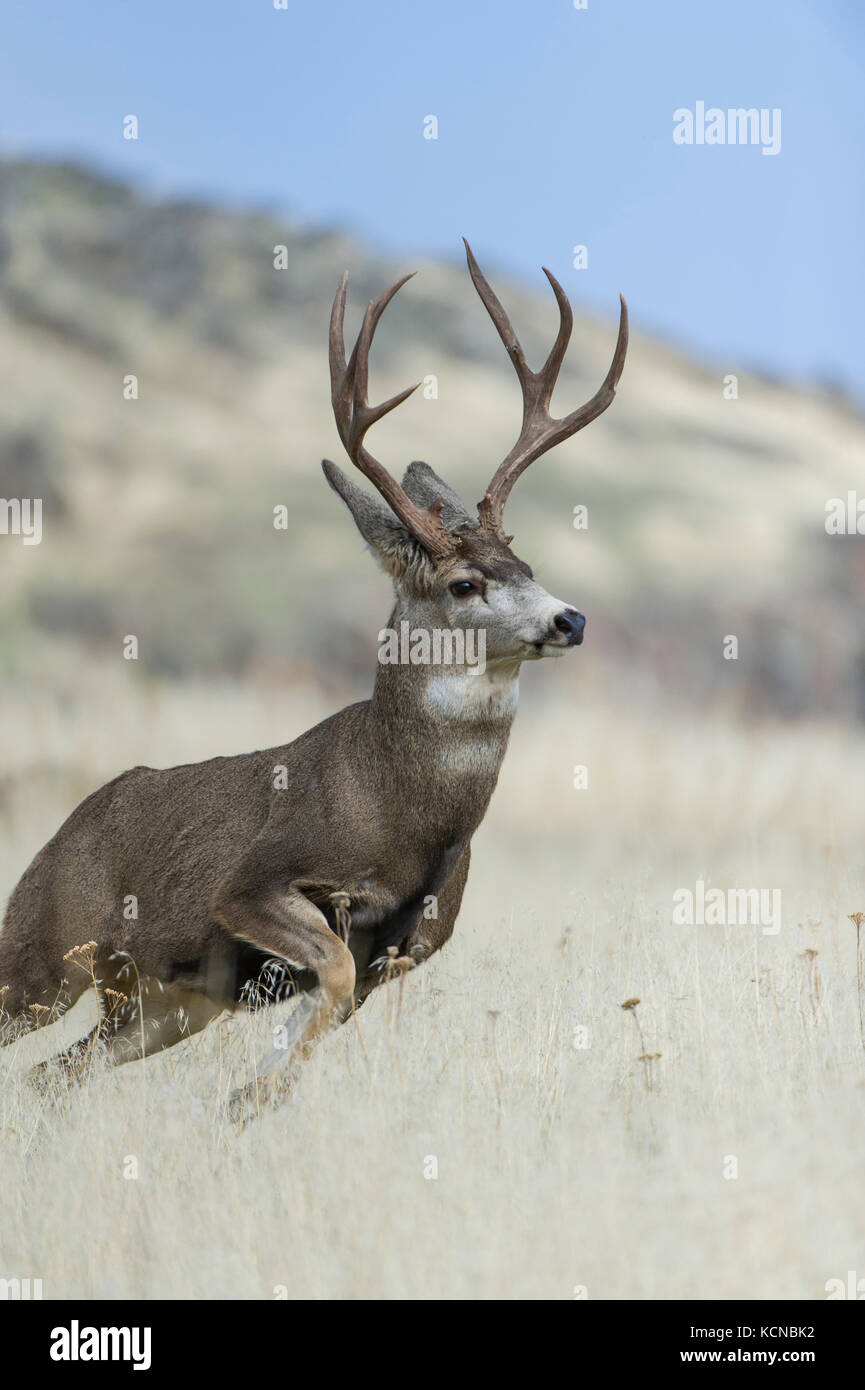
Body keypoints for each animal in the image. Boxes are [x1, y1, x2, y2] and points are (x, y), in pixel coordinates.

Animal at [0, 241, 627, 1124]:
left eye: (526, 566)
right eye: (464, 583)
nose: (570, 619)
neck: (402, 809)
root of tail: (64, 827)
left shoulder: (400, 952)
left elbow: (322, 1013)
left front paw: (250, 1098)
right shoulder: (251, 885)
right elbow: (324, 970)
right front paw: (250, 1094)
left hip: (157, 1004)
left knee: (51, 1076)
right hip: (43, 946)